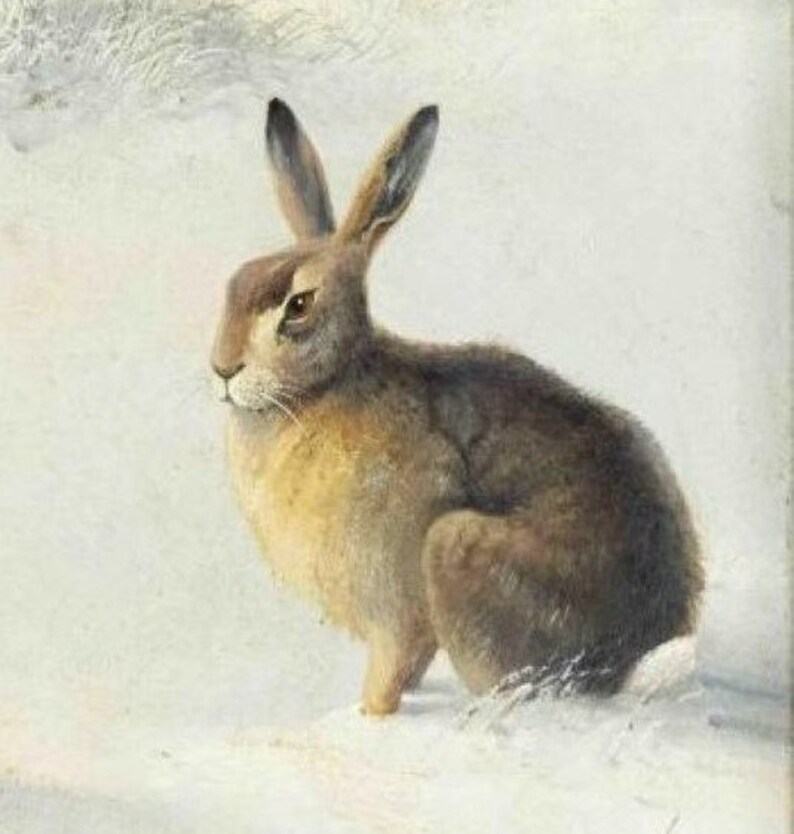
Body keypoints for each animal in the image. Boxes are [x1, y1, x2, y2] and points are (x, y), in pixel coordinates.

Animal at [211, 99, 704, 716]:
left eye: (297, 305)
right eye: (234, 282)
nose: (222, 369)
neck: (327, 385)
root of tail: (639, 652)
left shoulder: (397, 617)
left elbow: (387, 681)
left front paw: (370, 718)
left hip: (457, 551)